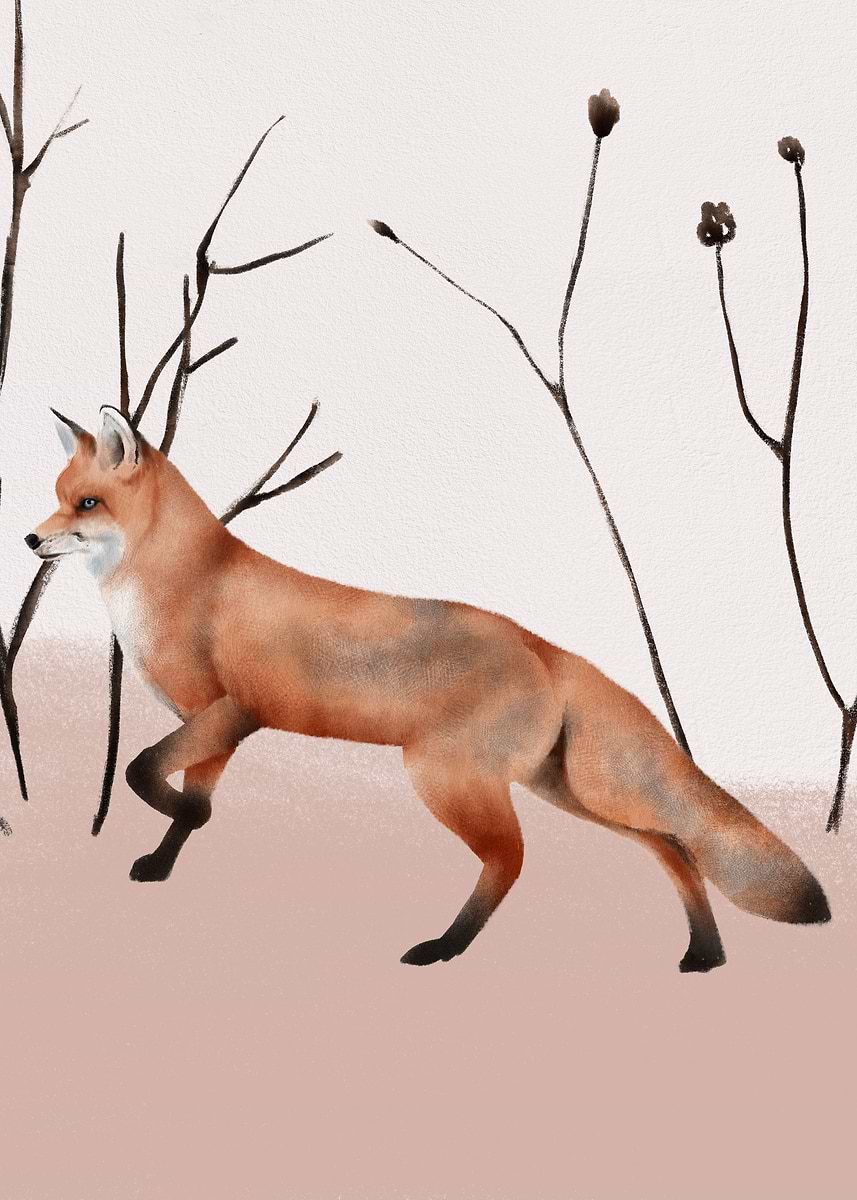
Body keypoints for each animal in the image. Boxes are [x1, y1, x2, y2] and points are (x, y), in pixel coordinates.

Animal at [26, 405, 830, 972]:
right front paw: (168, 857)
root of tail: (542, 645)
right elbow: (187, 801)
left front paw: (179, 827)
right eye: (59, 497)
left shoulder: (232, 710)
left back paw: (446, 947)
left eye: (87, 504)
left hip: (449, 777)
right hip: (563, 788)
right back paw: (705, 954)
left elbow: (141, 772)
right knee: (671, 845)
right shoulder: (215, 726)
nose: (32, 540)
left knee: (515, 861)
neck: (176, 586)